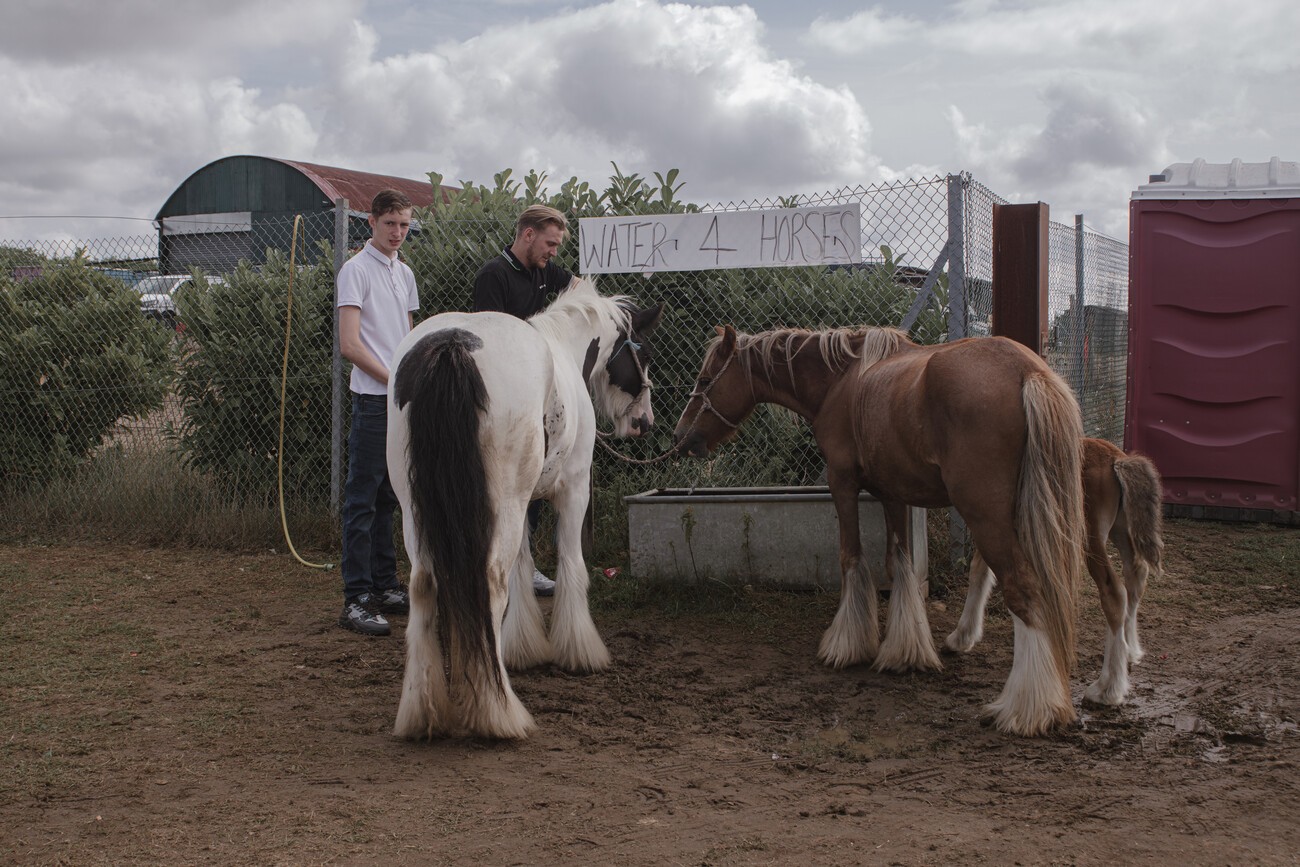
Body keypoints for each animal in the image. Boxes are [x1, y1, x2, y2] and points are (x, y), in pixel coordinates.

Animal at [388, 277, 663, 740]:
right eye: (640, 352)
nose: (645, 421)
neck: (563, 349)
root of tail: (453, 344)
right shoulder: (573, 491)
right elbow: (571, 566)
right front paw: (580, 650)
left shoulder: (524, 503)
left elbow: (523, 567)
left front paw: (522, 647)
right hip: (502, 505)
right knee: (490, 585)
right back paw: (498, 713)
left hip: (420, 511)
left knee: (424, 587)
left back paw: (424, 711)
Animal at [673, 325, 1085, 736]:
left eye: (705, 380)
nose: (680, 438)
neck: (841, 379)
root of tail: (1029, 373)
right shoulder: (893, 493)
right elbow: (899, 565)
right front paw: (905, 651)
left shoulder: (842, 484)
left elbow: (852, 558)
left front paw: (845, 645)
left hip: (985, 510)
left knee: (1023, 590)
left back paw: (1026, 707)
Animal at [945, 437, 1164, 706]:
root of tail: (1116, 459)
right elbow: (983, 571)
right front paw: (963, 636)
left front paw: (962, 636)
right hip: (1121, 529)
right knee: (1136, 574)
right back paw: (1130, 650)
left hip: (1091, 535)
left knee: (1114, 591)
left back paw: (1107, 689)